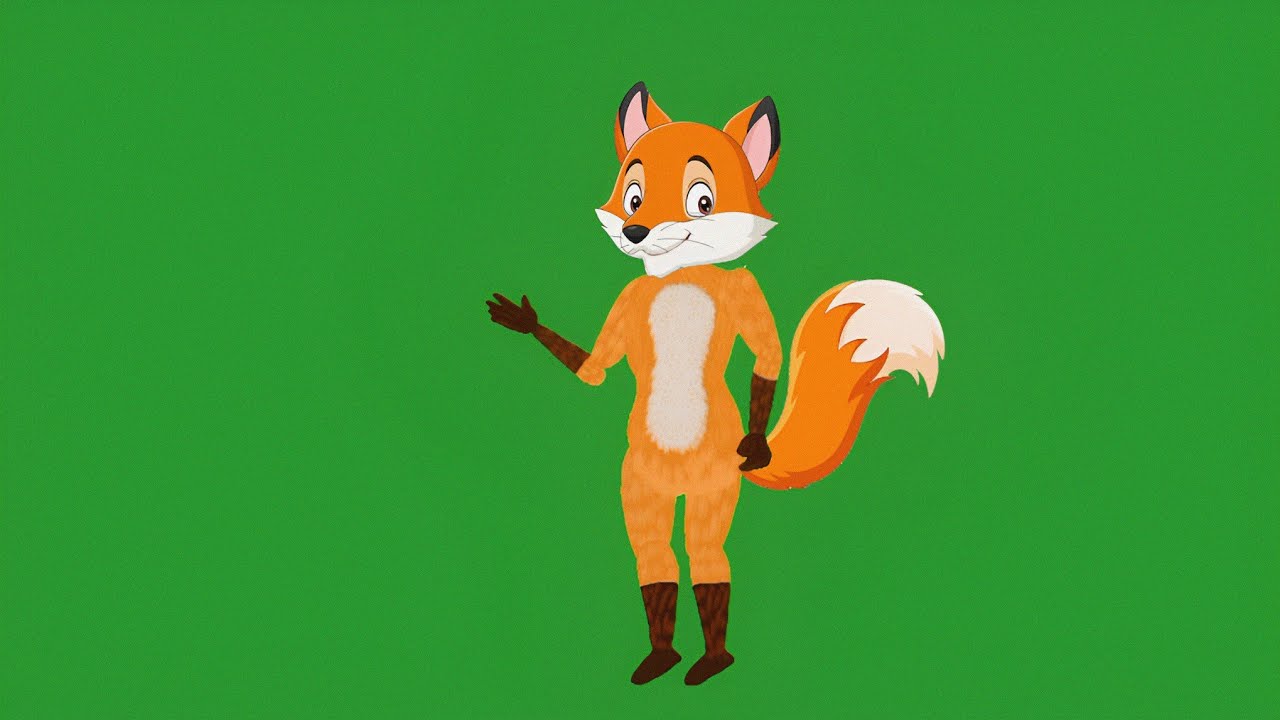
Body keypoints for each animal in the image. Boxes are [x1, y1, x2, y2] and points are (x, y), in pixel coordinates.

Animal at [487, 82, 945, 685]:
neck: (680, 276)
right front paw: (523, 320)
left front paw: (757, 444)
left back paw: (713, 660)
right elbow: (596, 369)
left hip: (711, 488)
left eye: (701, 200)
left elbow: (767, 353)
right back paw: (662, 657)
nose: (636, 231)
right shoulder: (627, 306)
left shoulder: (744, 289)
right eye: (633, 197)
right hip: (642, 485)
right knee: (655, 557)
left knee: (705, 557)